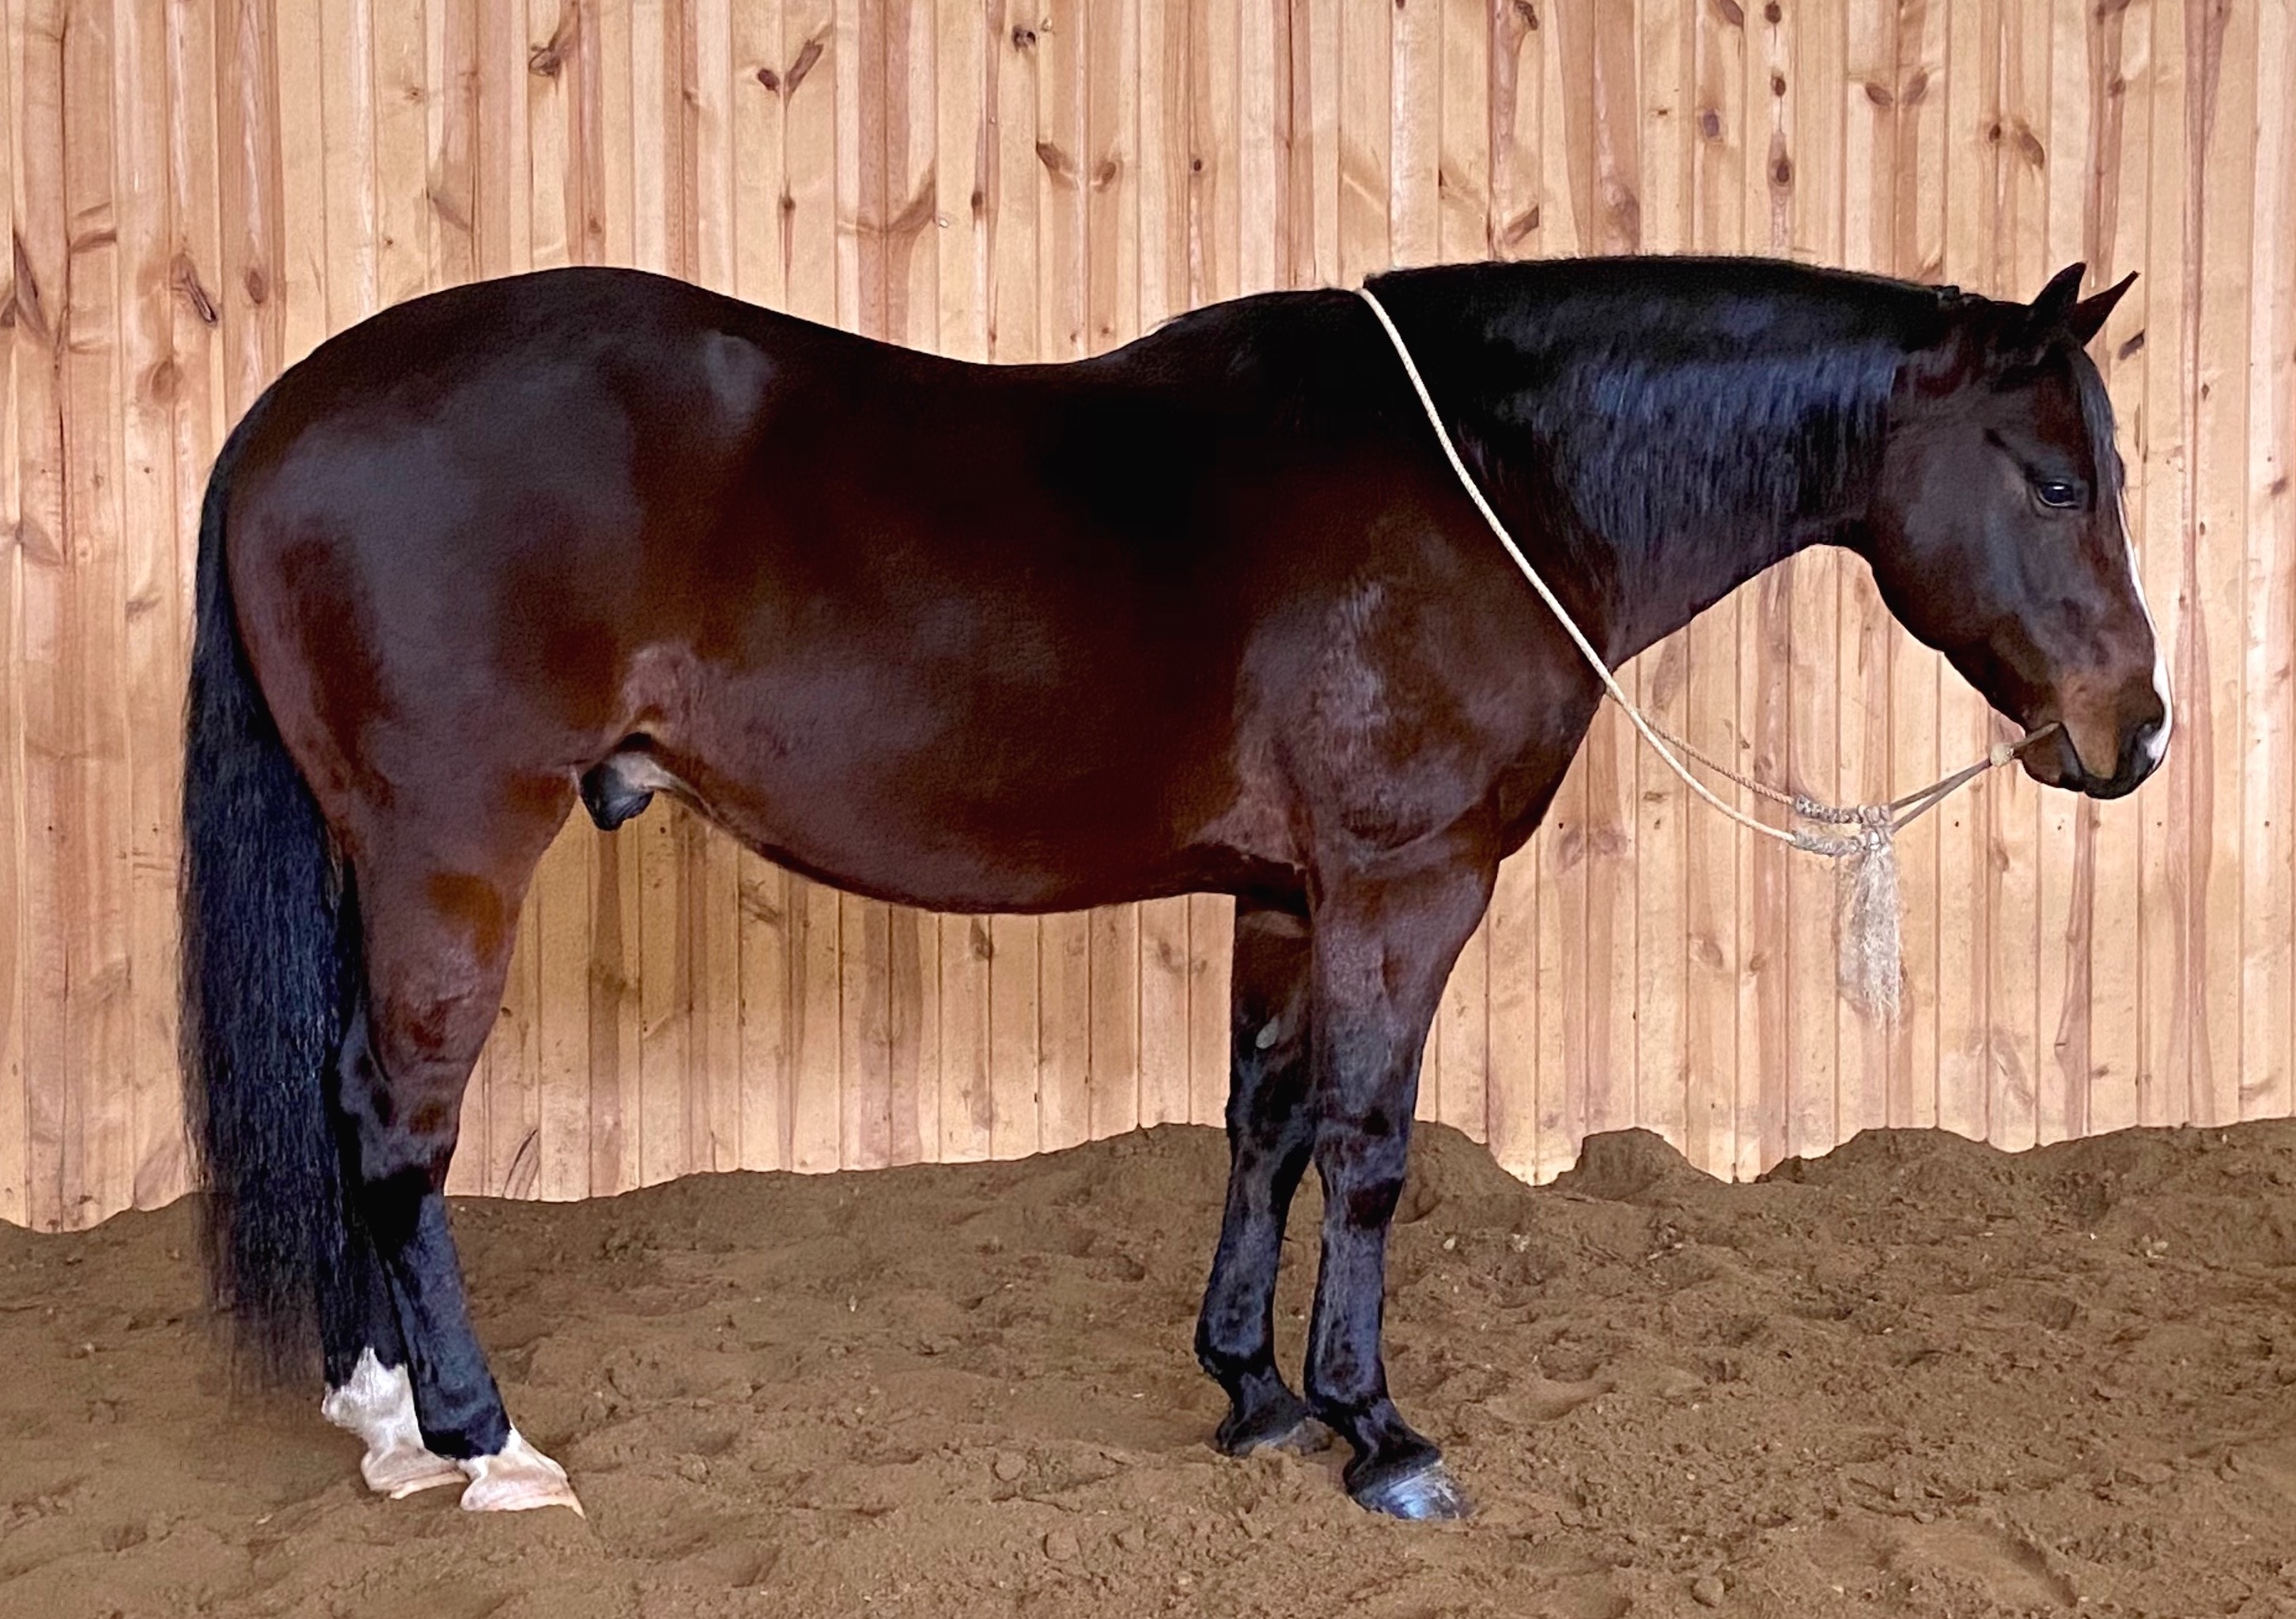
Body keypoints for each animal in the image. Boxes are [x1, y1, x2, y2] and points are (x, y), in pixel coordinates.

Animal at [179, 252, 2167, 1522]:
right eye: (2049, 479)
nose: (2130, 731)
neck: (1482, 478)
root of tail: (283, 416)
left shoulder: (1285, 898)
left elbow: (1263, 1124)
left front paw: (1253, 1391)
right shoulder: (1401, 888)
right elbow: (1366, 1146)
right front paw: (1378, 1432)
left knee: (350, 1102)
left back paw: (379, 1412)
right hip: (455, 850)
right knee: (397, 1123)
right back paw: (473, 1436)